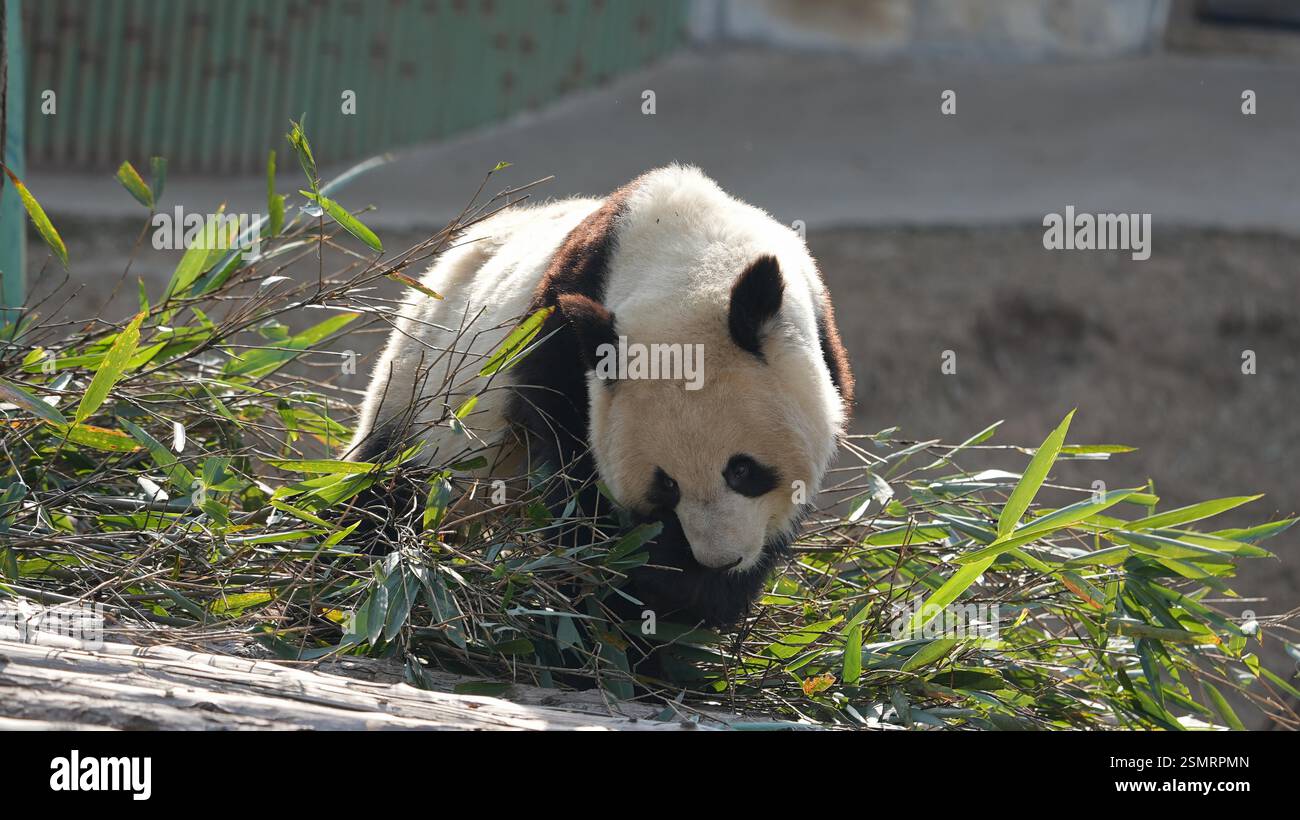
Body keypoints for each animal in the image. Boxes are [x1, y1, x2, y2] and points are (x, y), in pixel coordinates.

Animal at [348, 165, 854, 627]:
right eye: (665, 485)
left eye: (743, 469)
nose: (720, 559)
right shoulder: (558, 347)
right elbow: (575, 482)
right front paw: (650, 587)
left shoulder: (823, 343)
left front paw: (697, 598)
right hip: (421, 386)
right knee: (386, 488)